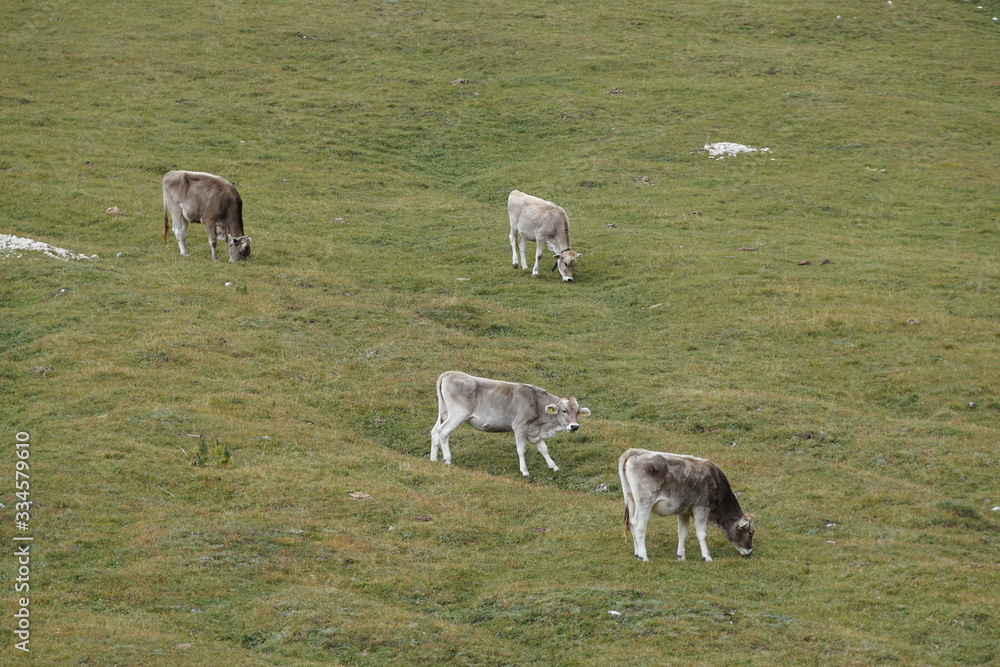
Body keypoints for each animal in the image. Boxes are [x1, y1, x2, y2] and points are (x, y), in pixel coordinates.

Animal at [430, 371, 591, 477]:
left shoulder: (533, 431)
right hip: (458, 415)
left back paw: (433, 459)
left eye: (577, 412)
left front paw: (553, 466)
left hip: (444, 414)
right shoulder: (519, 426)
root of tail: (449, 374)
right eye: (564, 411)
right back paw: (447, 460)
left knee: (435, 432)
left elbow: (543, 448)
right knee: (443, 432)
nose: (574, 426)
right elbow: (522, 449)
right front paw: (524, 471)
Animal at [618, 448, 754, 562]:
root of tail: (634, 452)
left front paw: (681, 556)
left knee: (631, 522)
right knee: (639, 525)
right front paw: (707, 557)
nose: (749, 552)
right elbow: (702, 533)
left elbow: (682, 532)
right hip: (645, 501)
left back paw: (637, 554)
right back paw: (643, 556)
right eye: (750, 532)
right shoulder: (701, 507)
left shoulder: (684, 510)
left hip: (631, 499)